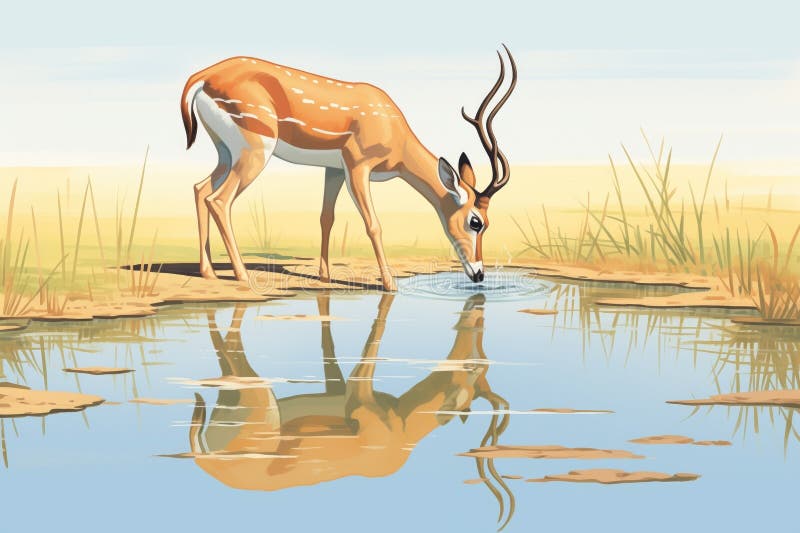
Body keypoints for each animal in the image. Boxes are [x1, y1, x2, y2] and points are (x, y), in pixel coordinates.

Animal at [180, 47, 518, 291]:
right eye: (476, 221)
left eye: (487, 221)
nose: (479, 275)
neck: (395, 137)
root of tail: (201, 77)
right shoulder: (358, 164)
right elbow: (373, 224)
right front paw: (390, 284)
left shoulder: (335, 169)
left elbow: (326, 217)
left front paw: (325, 277)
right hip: (255, 150)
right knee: (219, 199)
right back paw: (242, 276)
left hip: (226, 151)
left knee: (199, 188)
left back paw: (208, 273)